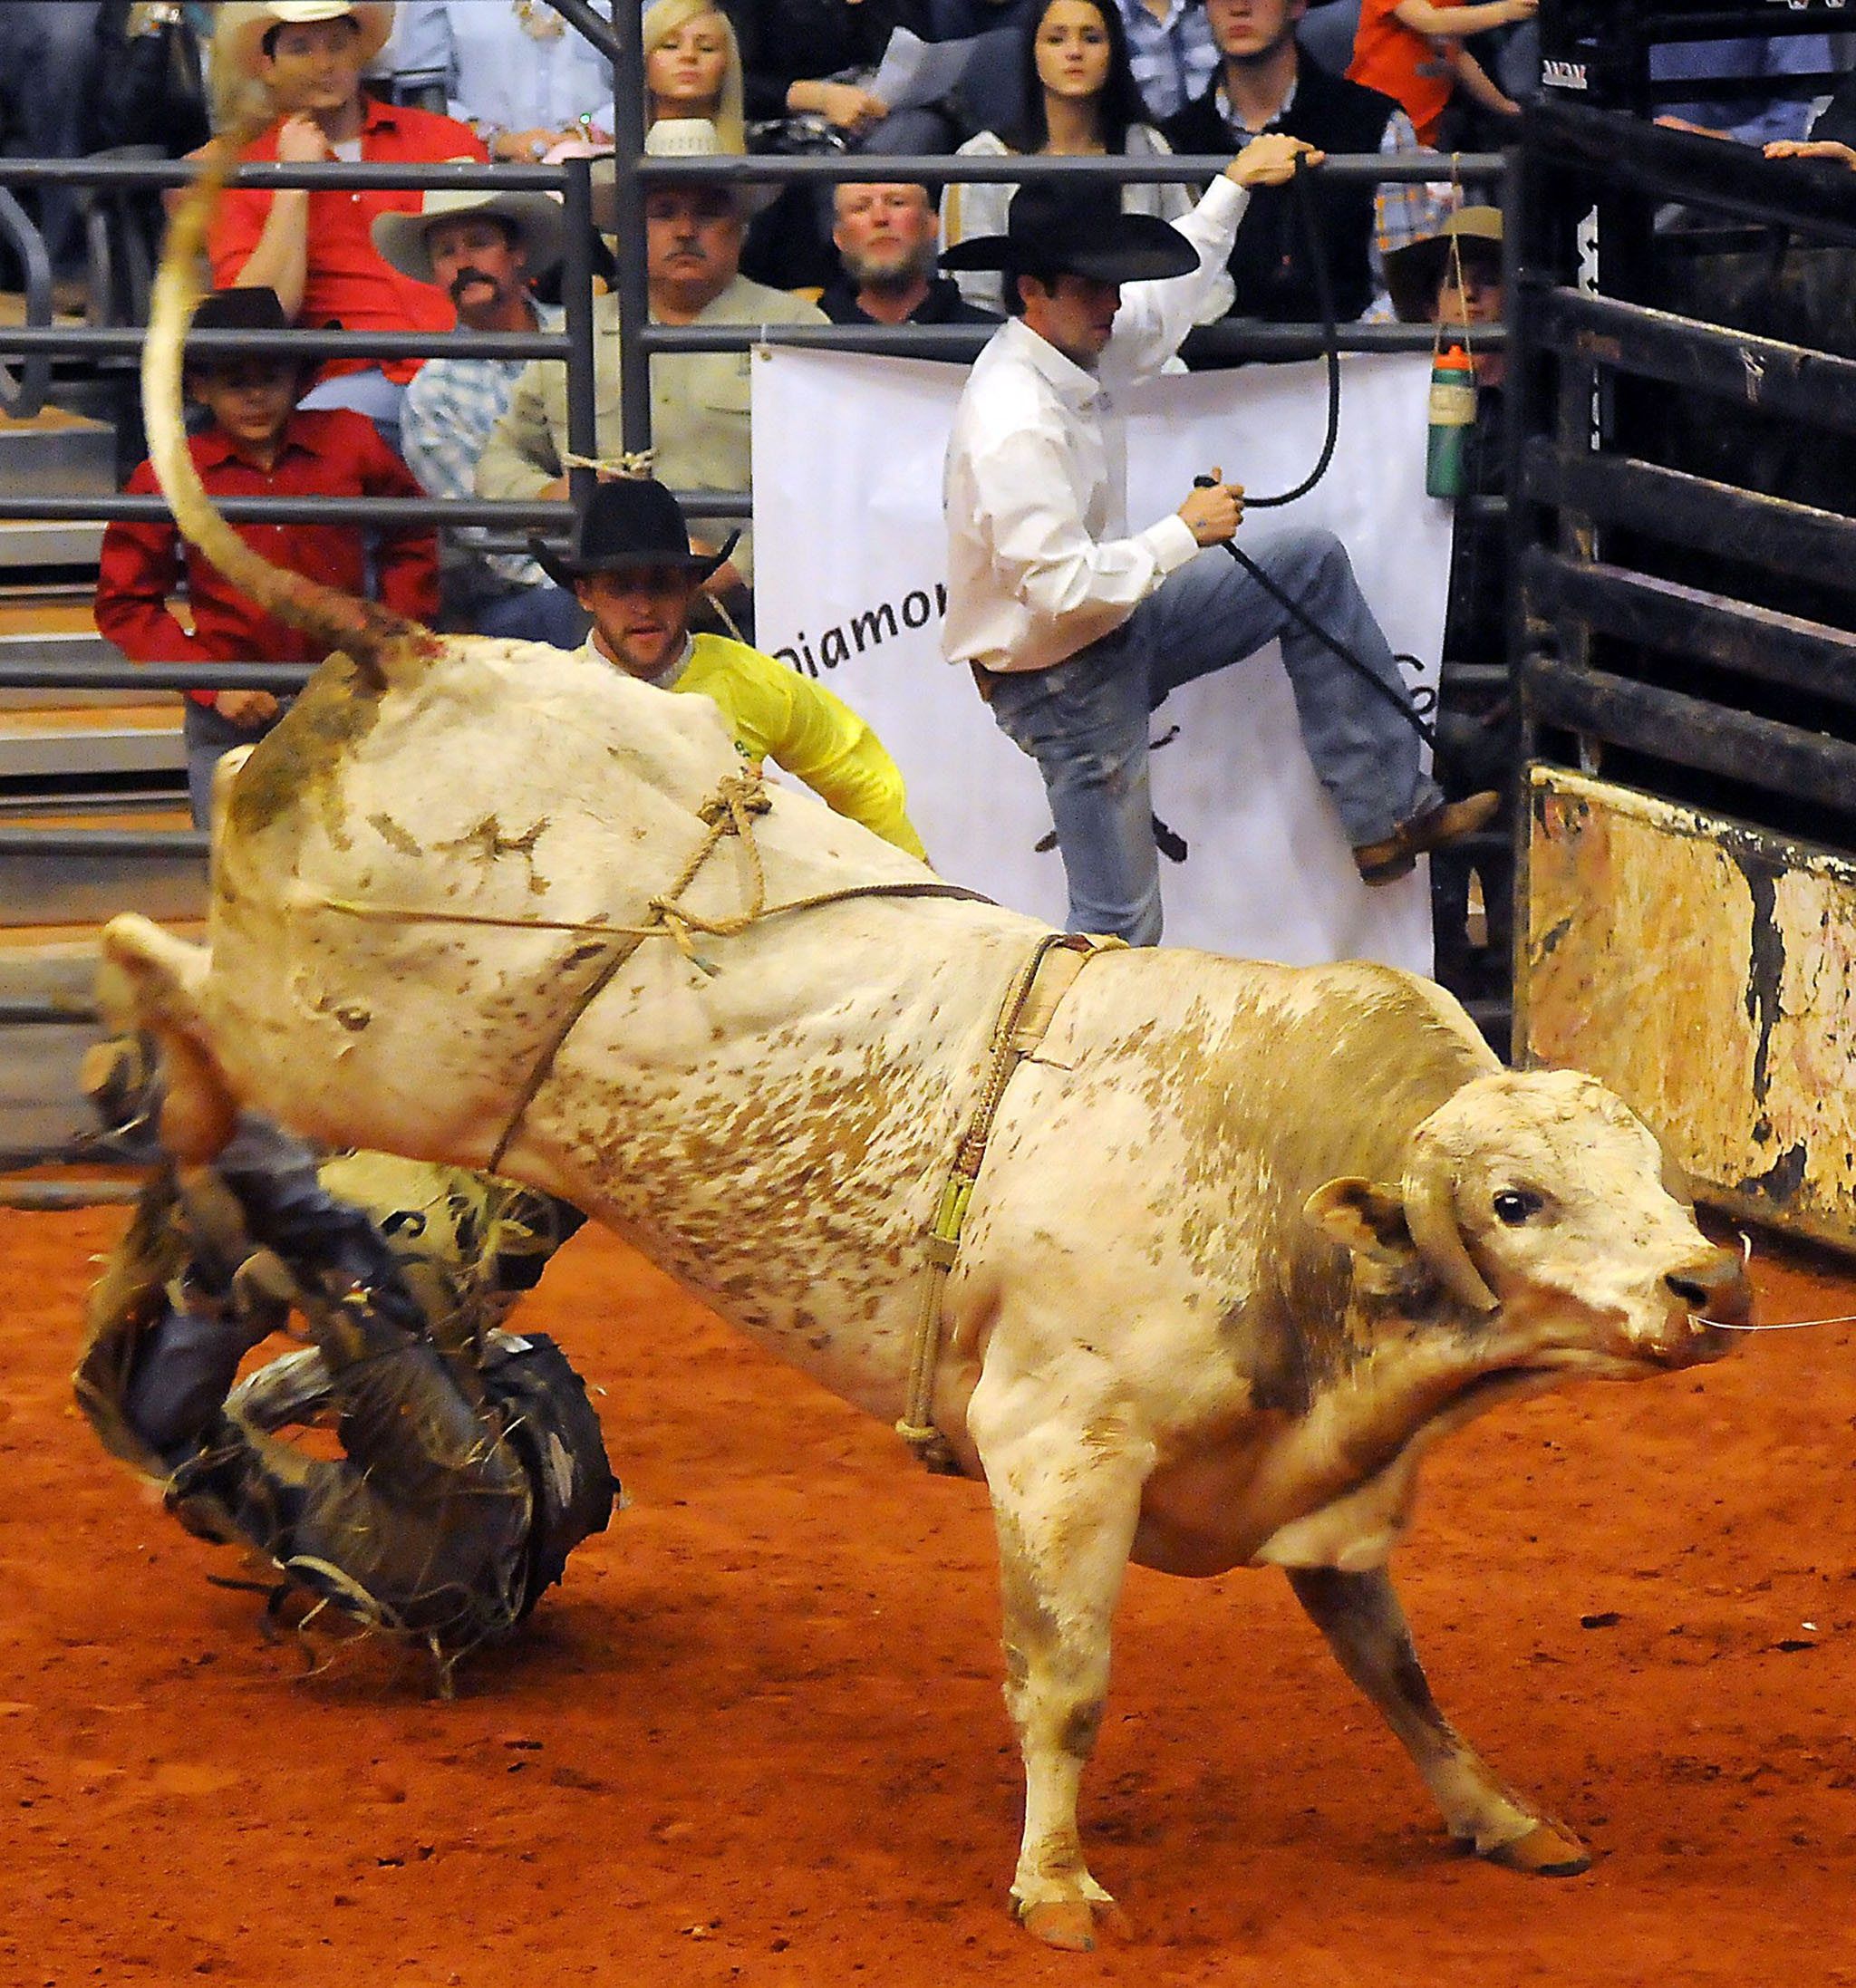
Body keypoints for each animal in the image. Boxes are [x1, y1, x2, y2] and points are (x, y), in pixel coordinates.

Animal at [98, 134, 1755, 1951]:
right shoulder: (1055, 1451)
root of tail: (407, 648)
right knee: (156, 975)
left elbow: (1397, 1672)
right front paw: (1056, 1882)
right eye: (1515, 1201)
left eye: (1659, 1178)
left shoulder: (1317, 1498)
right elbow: (1065, 1680)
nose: (1708, 1281)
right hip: (337, 1030)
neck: (1280, 1180)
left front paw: (1499, 1814)